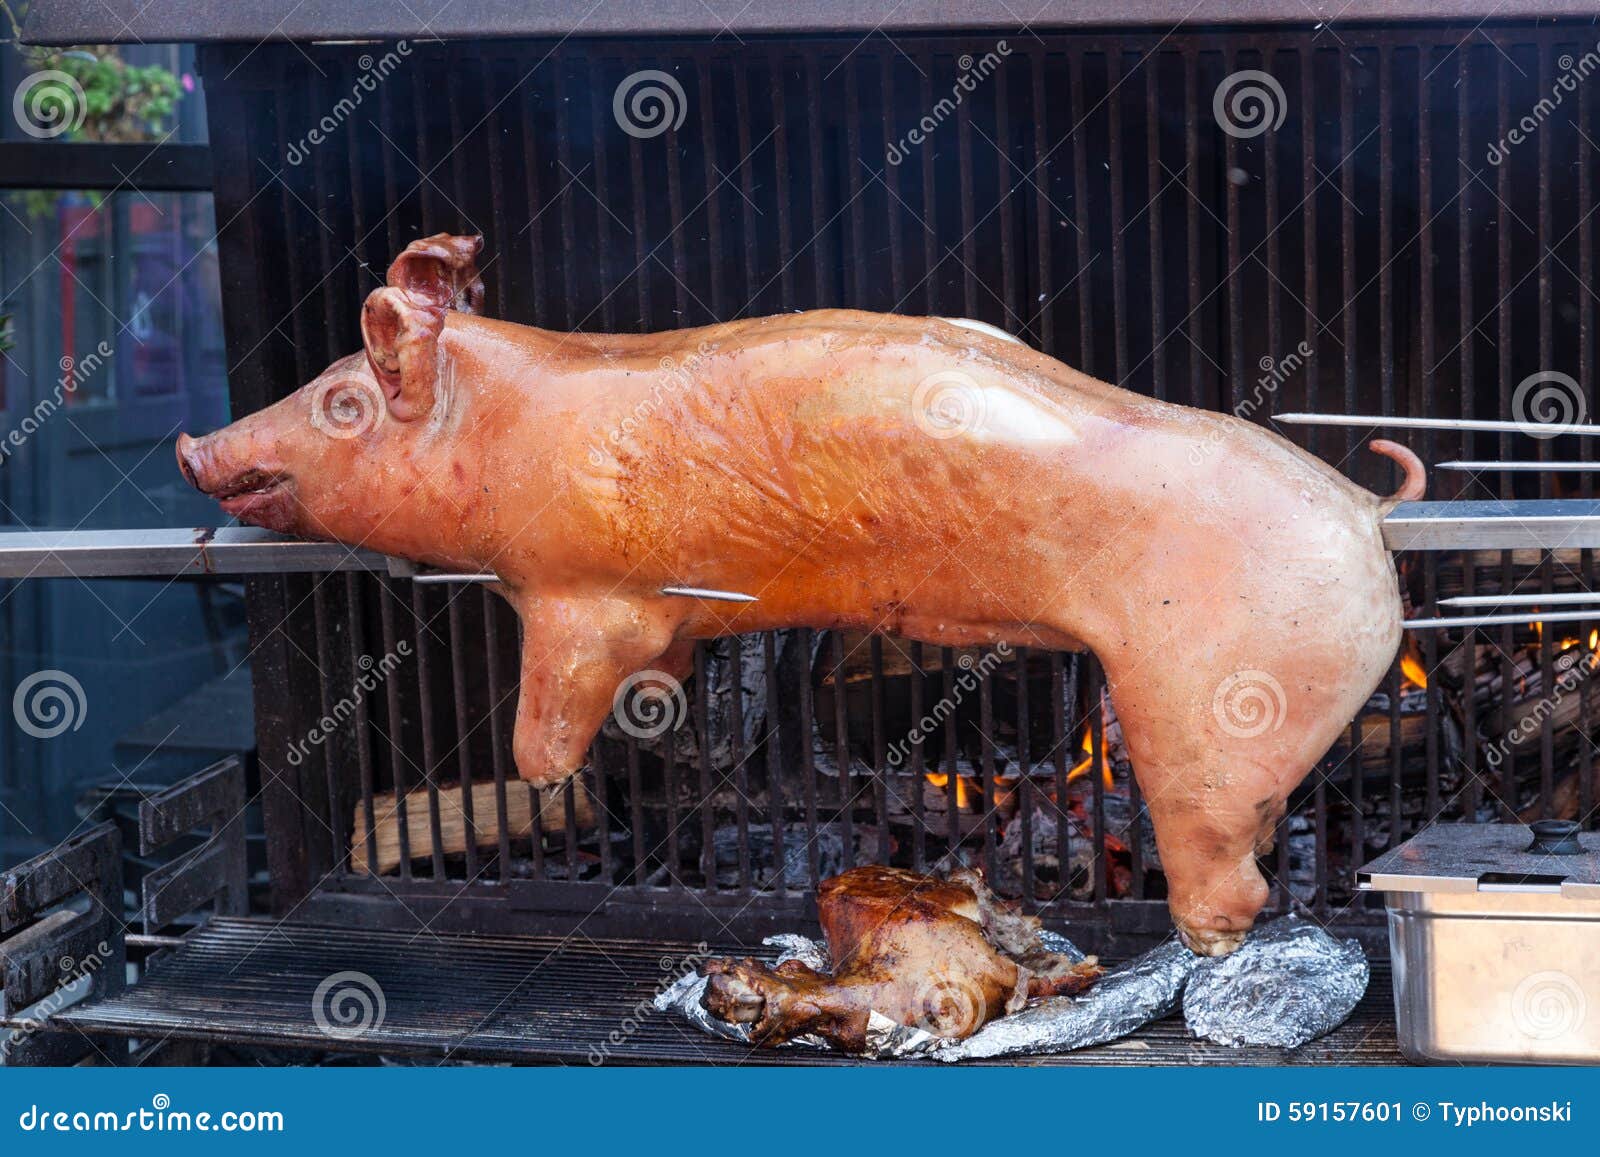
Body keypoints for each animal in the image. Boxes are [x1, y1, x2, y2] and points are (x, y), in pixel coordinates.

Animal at [178, 233, 1424, 955]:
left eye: (340, 398)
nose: (196, 446)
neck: (507, 424)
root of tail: (1368, 511)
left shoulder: (584, 597)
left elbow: (557, 706)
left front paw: (542, 764)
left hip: (1206, 705)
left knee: (1223, 867)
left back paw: (1204, 952)